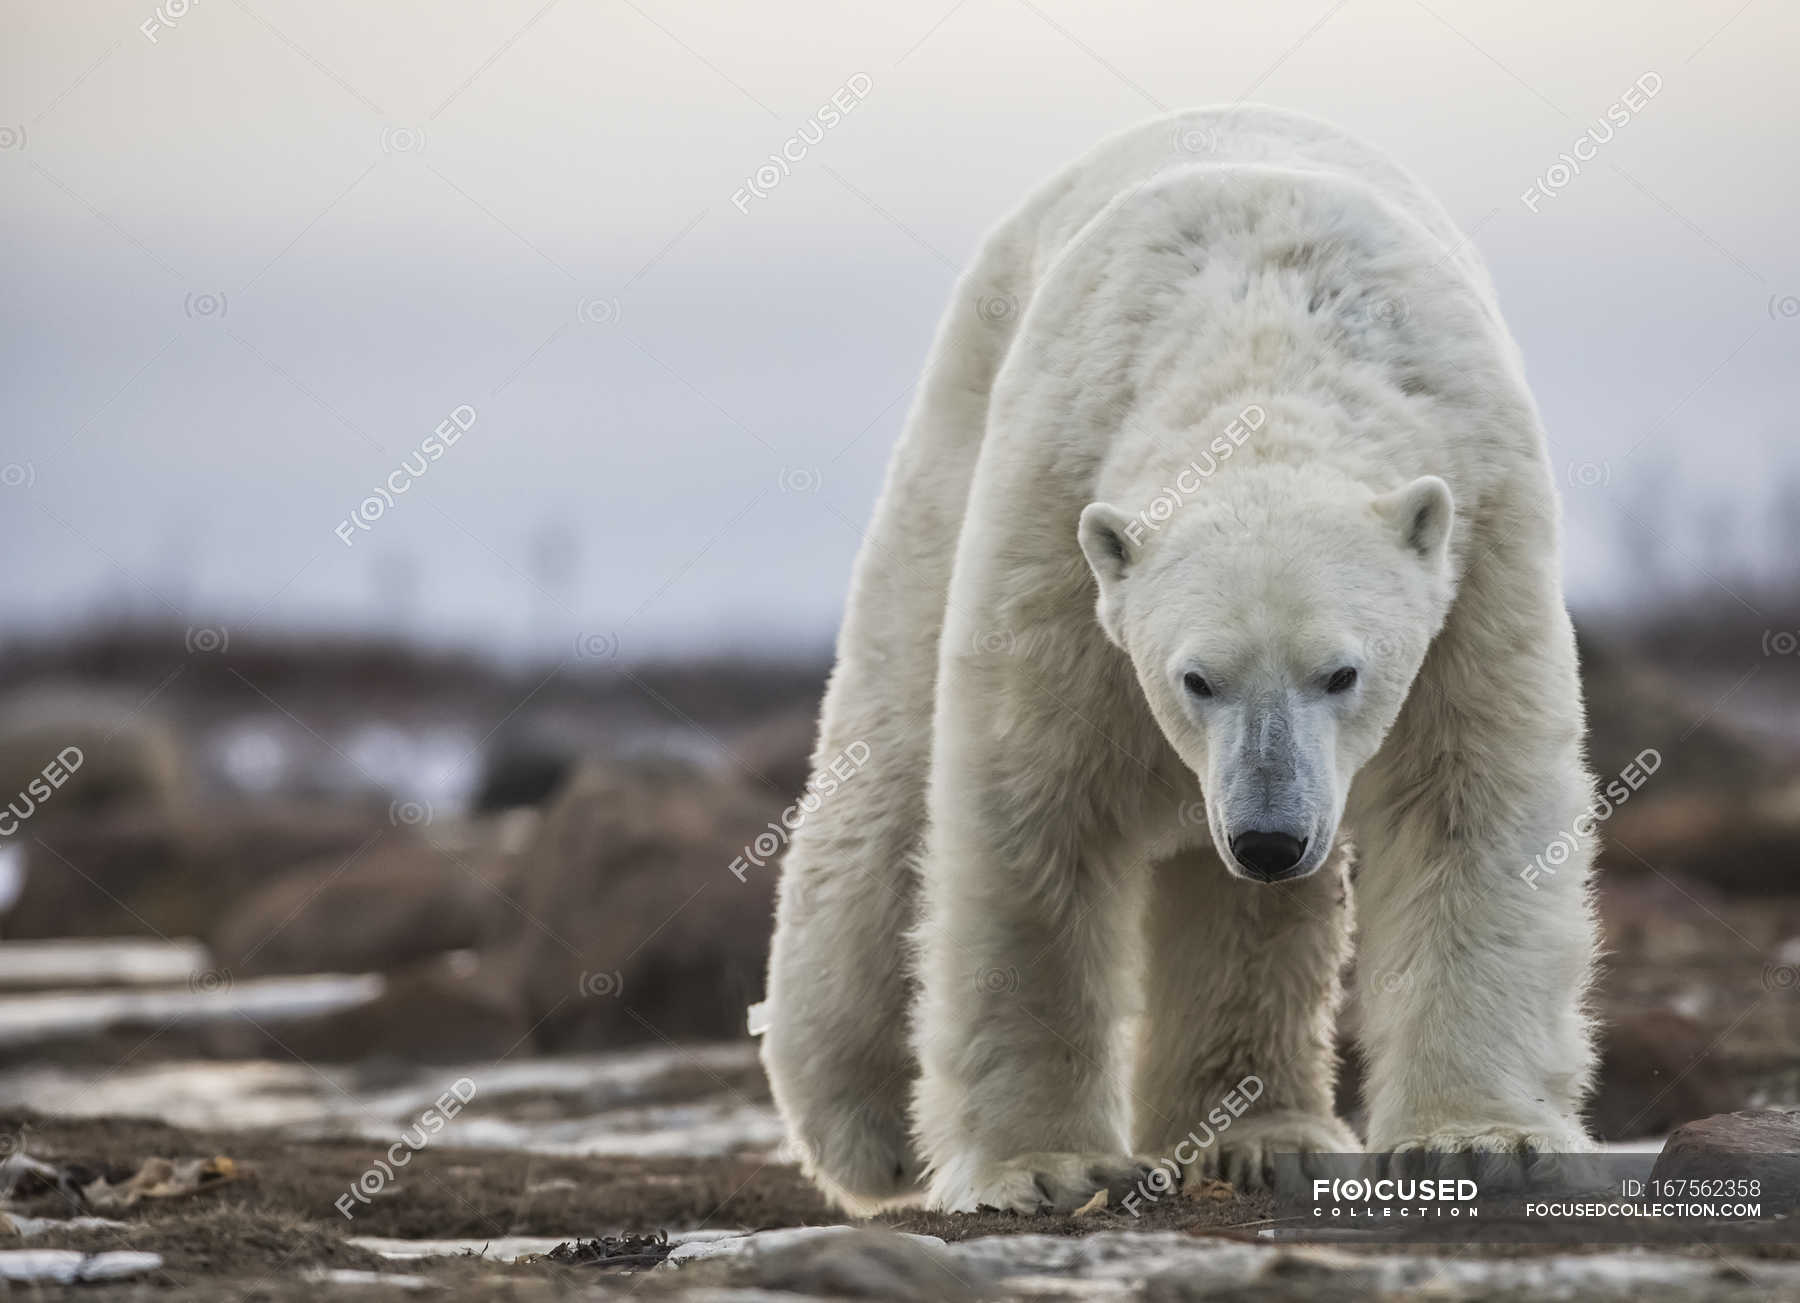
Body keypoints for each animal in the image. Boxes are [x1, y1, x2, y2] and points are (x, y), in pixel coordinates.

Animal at [760, 105, 1598, 1214]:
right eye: (1194, 677)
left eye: (1343, 672)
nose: (1272, 834)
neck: (1266, 347)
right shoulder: (1054, 525)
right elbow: (1034, 814)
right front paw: (1044, 1166)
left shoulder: (1483, 540)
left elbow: (1468, 799)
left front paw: (1479, 1140)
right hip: (951, 442)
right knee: (881, 769)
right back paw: (859, 1126)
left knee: (1233, 904)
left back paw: (1259, 1136)